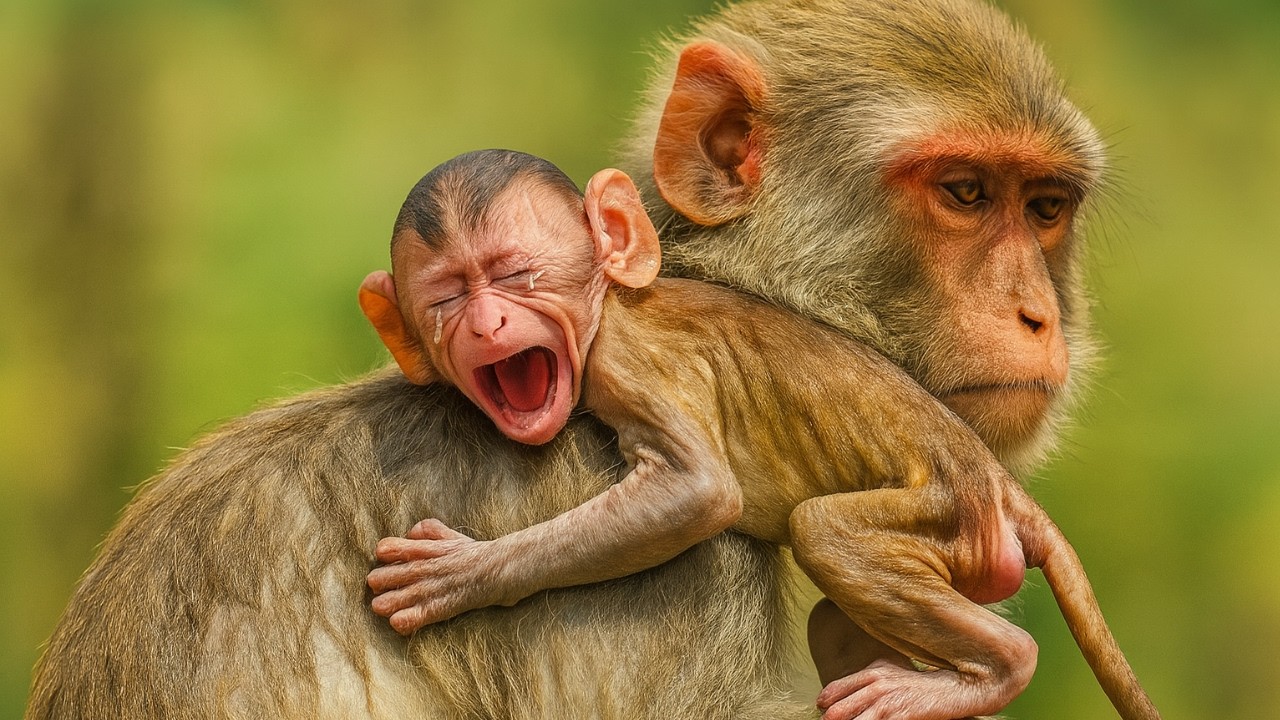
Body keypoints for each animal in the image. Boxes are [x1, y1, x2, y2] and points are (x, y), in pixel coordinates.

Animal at [357, 149, 1158, 720]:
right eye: (448, 297)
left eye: (516, 276)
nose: (486, 323)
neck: (605, 309)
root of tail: (999, 485)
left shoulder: (625, 363)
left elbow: (702, 494)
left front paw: (469, 572)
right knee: (834, 620)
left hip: (949, 516)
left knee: (825, 532)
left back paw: (1000, 664)